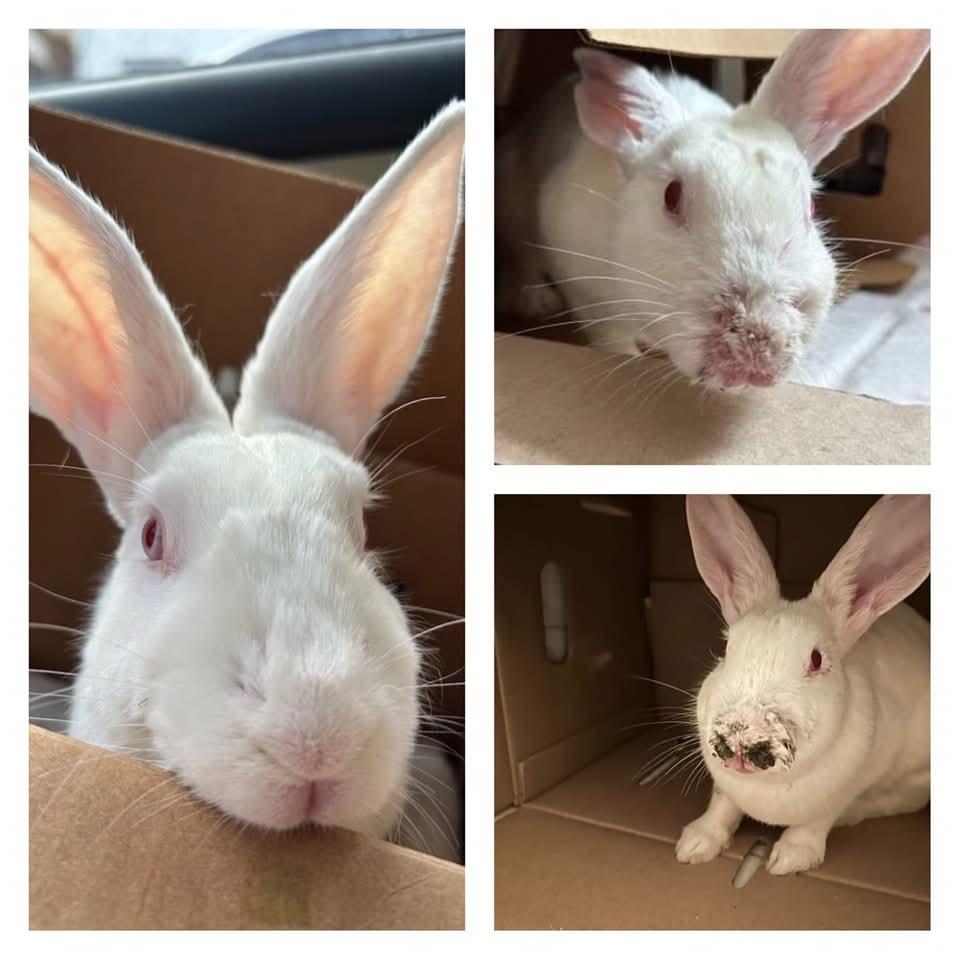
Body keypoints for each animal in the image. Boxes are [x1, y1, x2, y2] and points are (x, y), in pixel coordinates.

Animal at [496, 30, 929, 390]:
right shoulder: (589, 293)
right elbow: (611, 339)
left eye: (810, 205)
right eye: (671, 195)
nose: (758, 345)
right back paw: (537, 302)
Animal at [675, 494, 929, 875]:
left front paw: (788, 860)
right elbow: (721, 807)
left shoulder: (842, 790)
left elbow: (815, 822)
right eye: (726, 648)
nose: (739, 741)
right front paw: (693, 845)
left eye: (817, 659)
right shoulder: (724, 786)